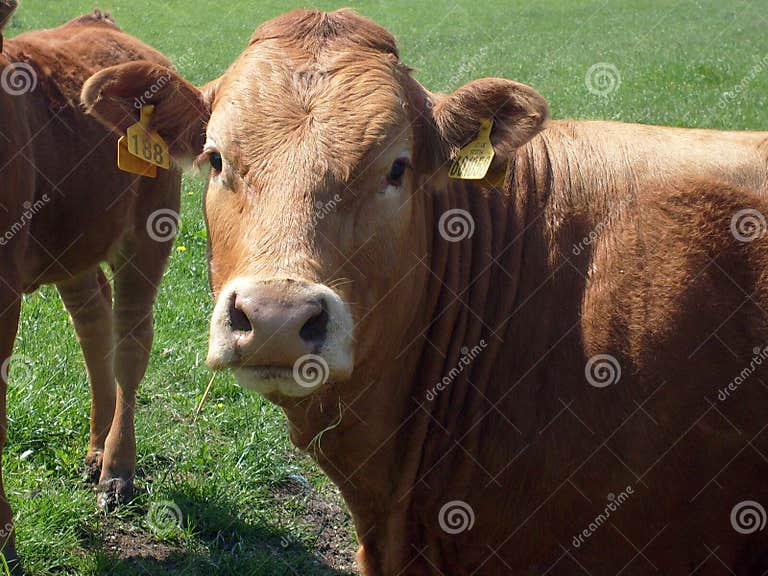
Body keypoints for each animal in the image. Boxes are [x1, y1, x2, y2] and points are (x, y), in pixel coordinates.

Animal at [0, 3, 181, 569]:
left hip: (150, 224)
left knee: (131, 338)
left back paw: (116, 470)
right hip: (75, 238)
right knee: (92, 322)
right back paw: (97, 449)